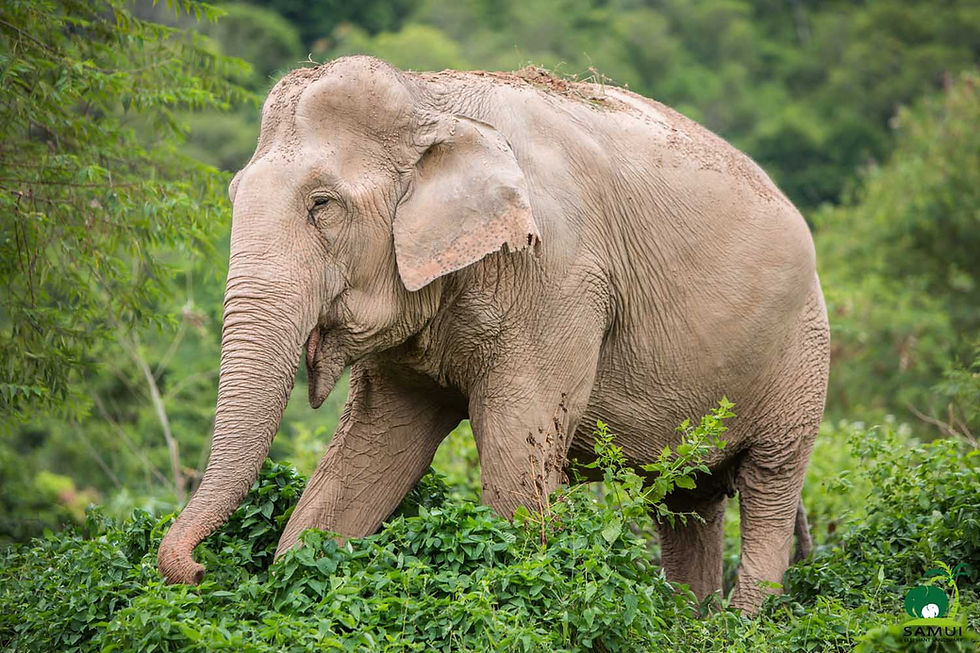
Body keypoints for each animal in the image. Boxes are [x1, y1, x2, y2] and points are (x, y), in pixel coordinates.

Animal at [157, 56, 829, 614]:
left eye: (322, 205)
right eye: (233, 194)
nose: (196, 570)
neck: (430, 98)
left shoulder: (556, 278)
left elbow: (514, 461)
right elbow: (368, 453)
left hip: (801, 359)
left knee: (768, 489)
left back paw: (742, 624)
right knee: (687, 502)